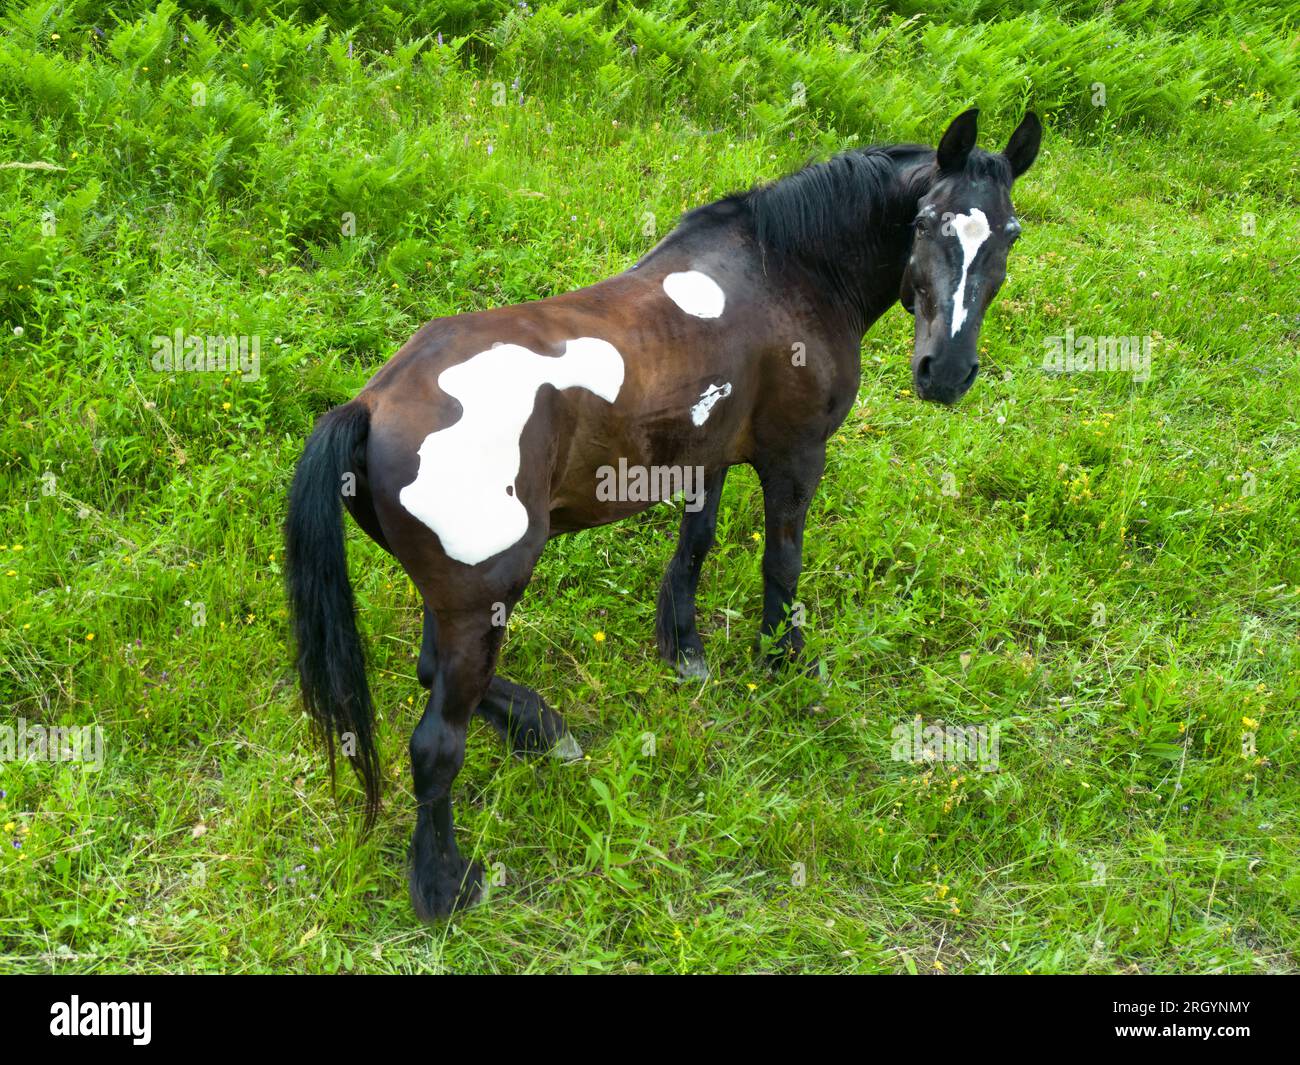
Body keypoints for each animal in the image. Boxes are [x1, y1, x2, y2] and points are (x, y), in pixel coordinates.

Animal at [285, 107, 1041, 920]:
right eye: (928, 223)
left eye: (1010, 232)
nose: (948, 373)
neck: (784, 272)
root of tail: (369, 406)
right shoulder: (795, 456)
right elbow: (782, 561)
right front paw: (782, 659)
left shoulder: (706, 450)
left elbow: (697, 541)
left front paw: (682, 644)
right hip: (482, 595)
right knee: (436, 743)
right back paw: (442, 880)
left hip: (464, 594)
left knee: (434, 671)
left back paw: (539, 728)